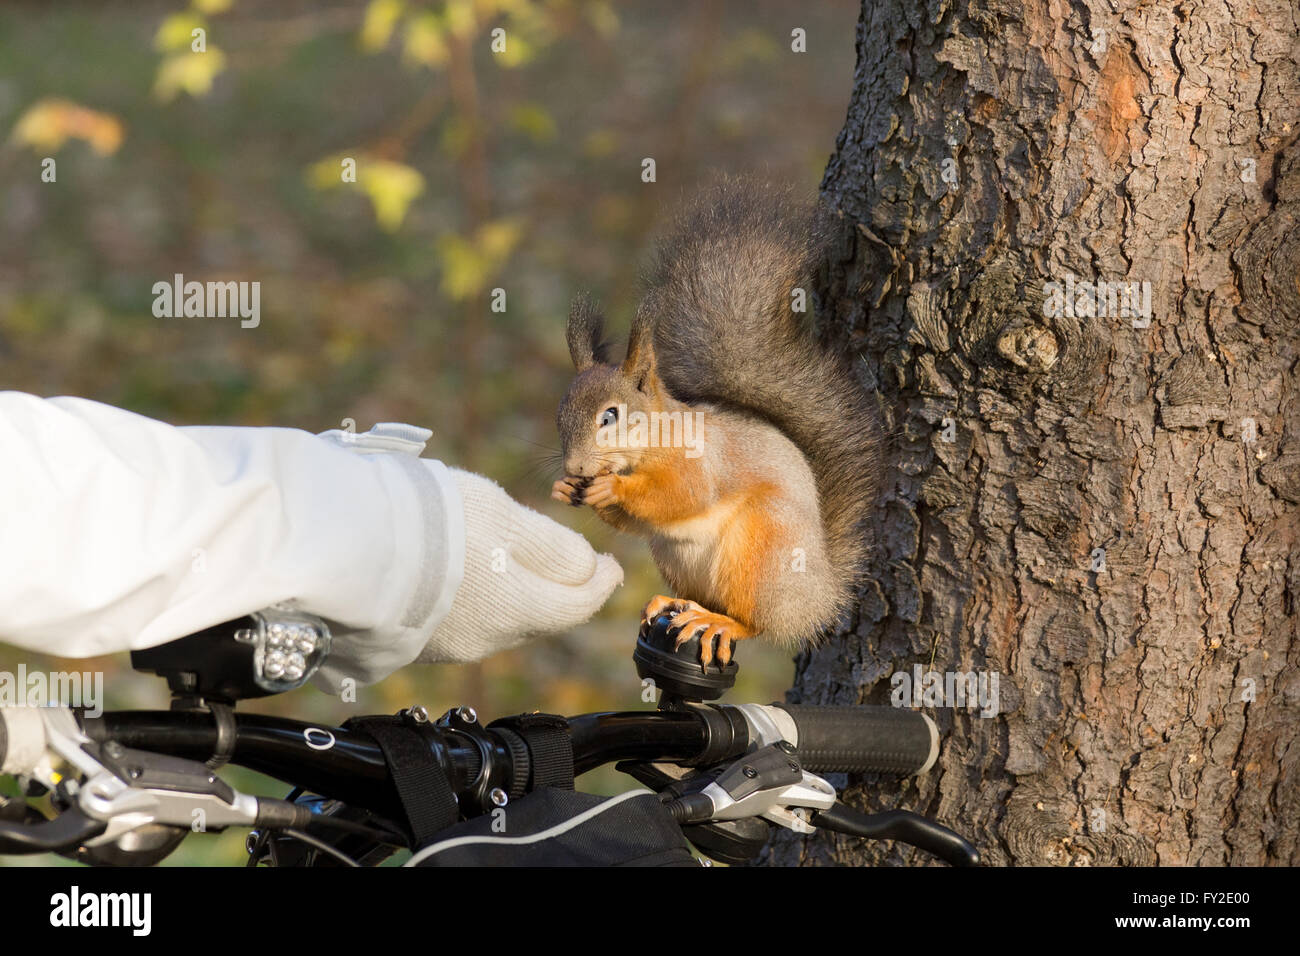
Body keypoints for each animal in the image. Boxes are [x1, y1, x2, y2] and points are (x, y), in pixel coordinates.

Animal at [551, 178, 883, 669]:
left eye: (610, 416)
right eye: (561, 412)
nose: (574, 468)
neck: (654, 439)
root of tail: (817, 600)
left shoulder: (701, 462)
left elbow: (682, 496)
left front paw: (611, 487)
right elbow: (636, 523)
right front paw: (566, 488)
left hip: (759, 549)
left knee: (754, 621)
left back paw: (720, 623)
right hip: (676, 558)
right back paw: (676, 604)